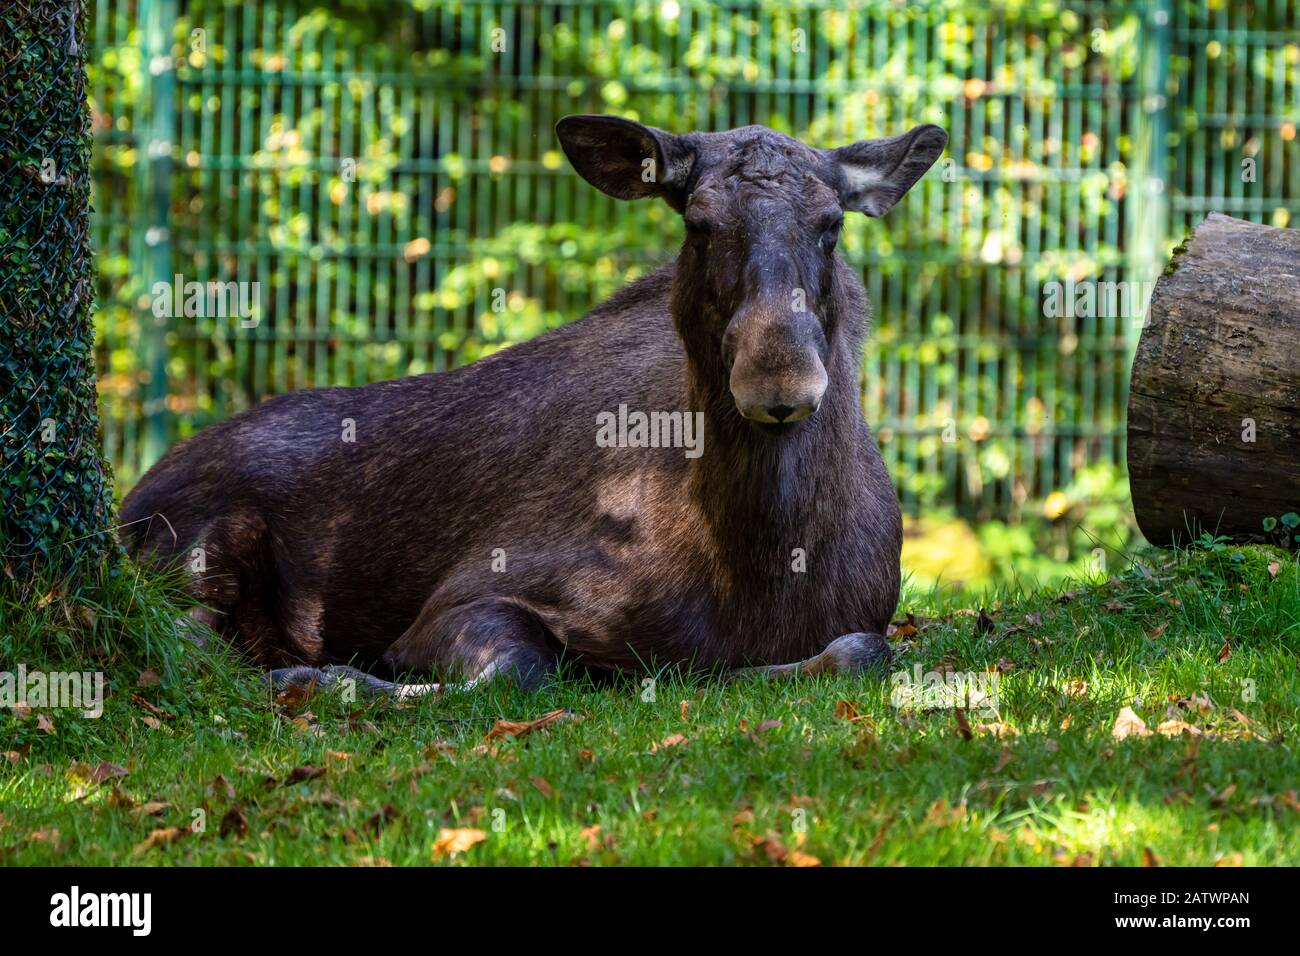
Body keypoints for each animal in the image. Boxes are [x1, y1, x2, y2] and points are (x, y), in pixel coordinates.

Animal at [119, 115, 948, 698]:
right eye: (699, 223)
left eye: (832, 224)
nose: (780, 380)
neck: (759, 561)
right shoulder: (461, 600)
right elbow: (515, 672)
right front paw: (319, 679)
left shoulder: (857, 622)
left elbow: (860, 651)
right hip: (194, 544)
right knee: (180, 634)